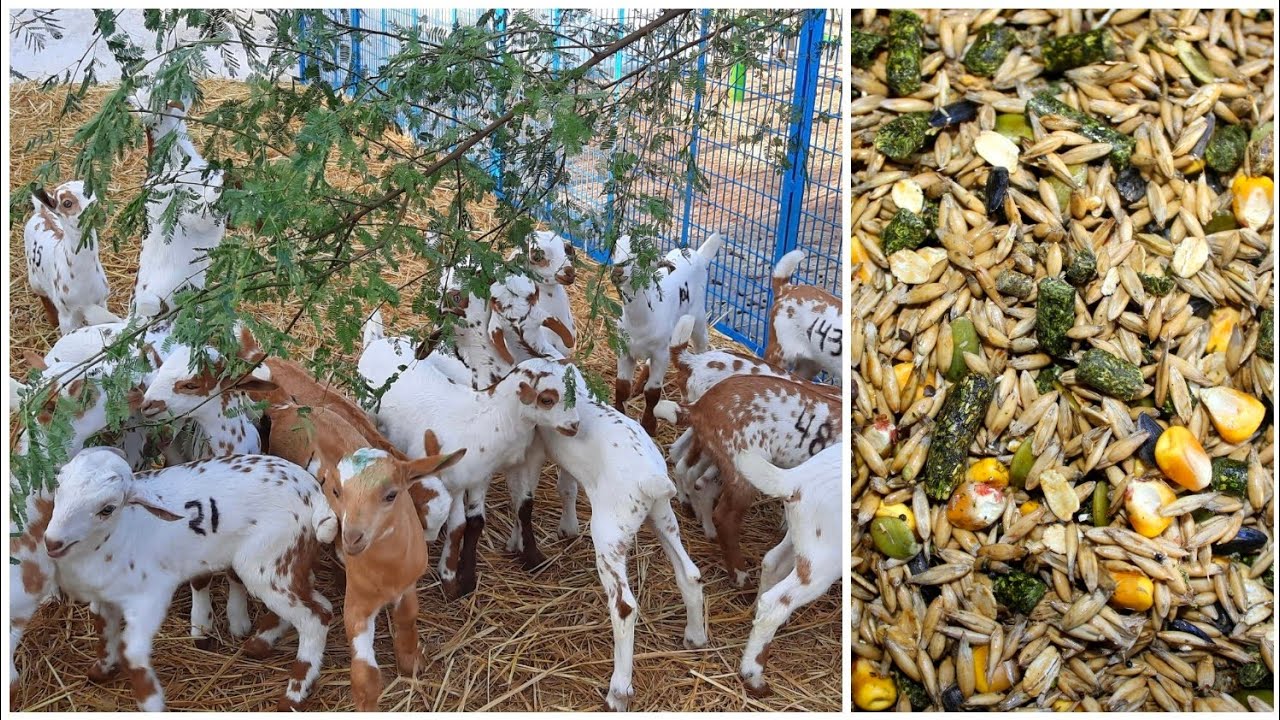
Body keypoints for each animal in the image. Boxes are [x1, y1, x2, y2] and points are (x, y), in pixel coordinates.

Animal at [24, 181, 119, 333]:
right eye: (67, 203)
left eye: (94, 192)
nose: (98, 212)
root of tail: (42, 211)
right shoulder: (67, 317)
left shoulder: (101, 302)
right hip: (33, 277)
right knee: (41, 293)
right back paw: (53, 321)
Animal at [43, 449, 336, 710]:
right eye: (58, 487)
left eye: (108, 509)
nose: (52, 542)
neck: (121, 533)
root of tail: (313, 492)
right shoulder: (104, 598)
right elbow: (103, 631)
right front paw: (100, 671)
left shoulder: (151, 596)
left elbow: (133, 653)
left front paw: (152, 703)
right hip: (289, 559)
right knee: (320, 603)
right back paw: (260, 643)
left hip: (265, 560)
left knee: (315, 617)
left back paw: (293, 696)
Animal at [610, 232, 721, 435]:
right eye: (615, 249)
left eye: (644, 256)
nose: (618, 272)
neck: (641, 320)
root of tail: (698, 255)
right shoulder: (625, 350)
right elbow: (622, 386)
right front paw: (620, 413)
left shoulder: (661, 355)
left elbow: (652, 393)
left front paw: (649, 426)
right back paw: (639, 384)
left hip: (698, 316)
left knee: (702, 344)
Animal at [733, 444, 841, 697]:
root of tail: (797, 479)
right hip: (825, 561)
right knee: (775, 603)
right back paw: (754, 677)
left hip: (801, 539)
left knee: (772, 563)